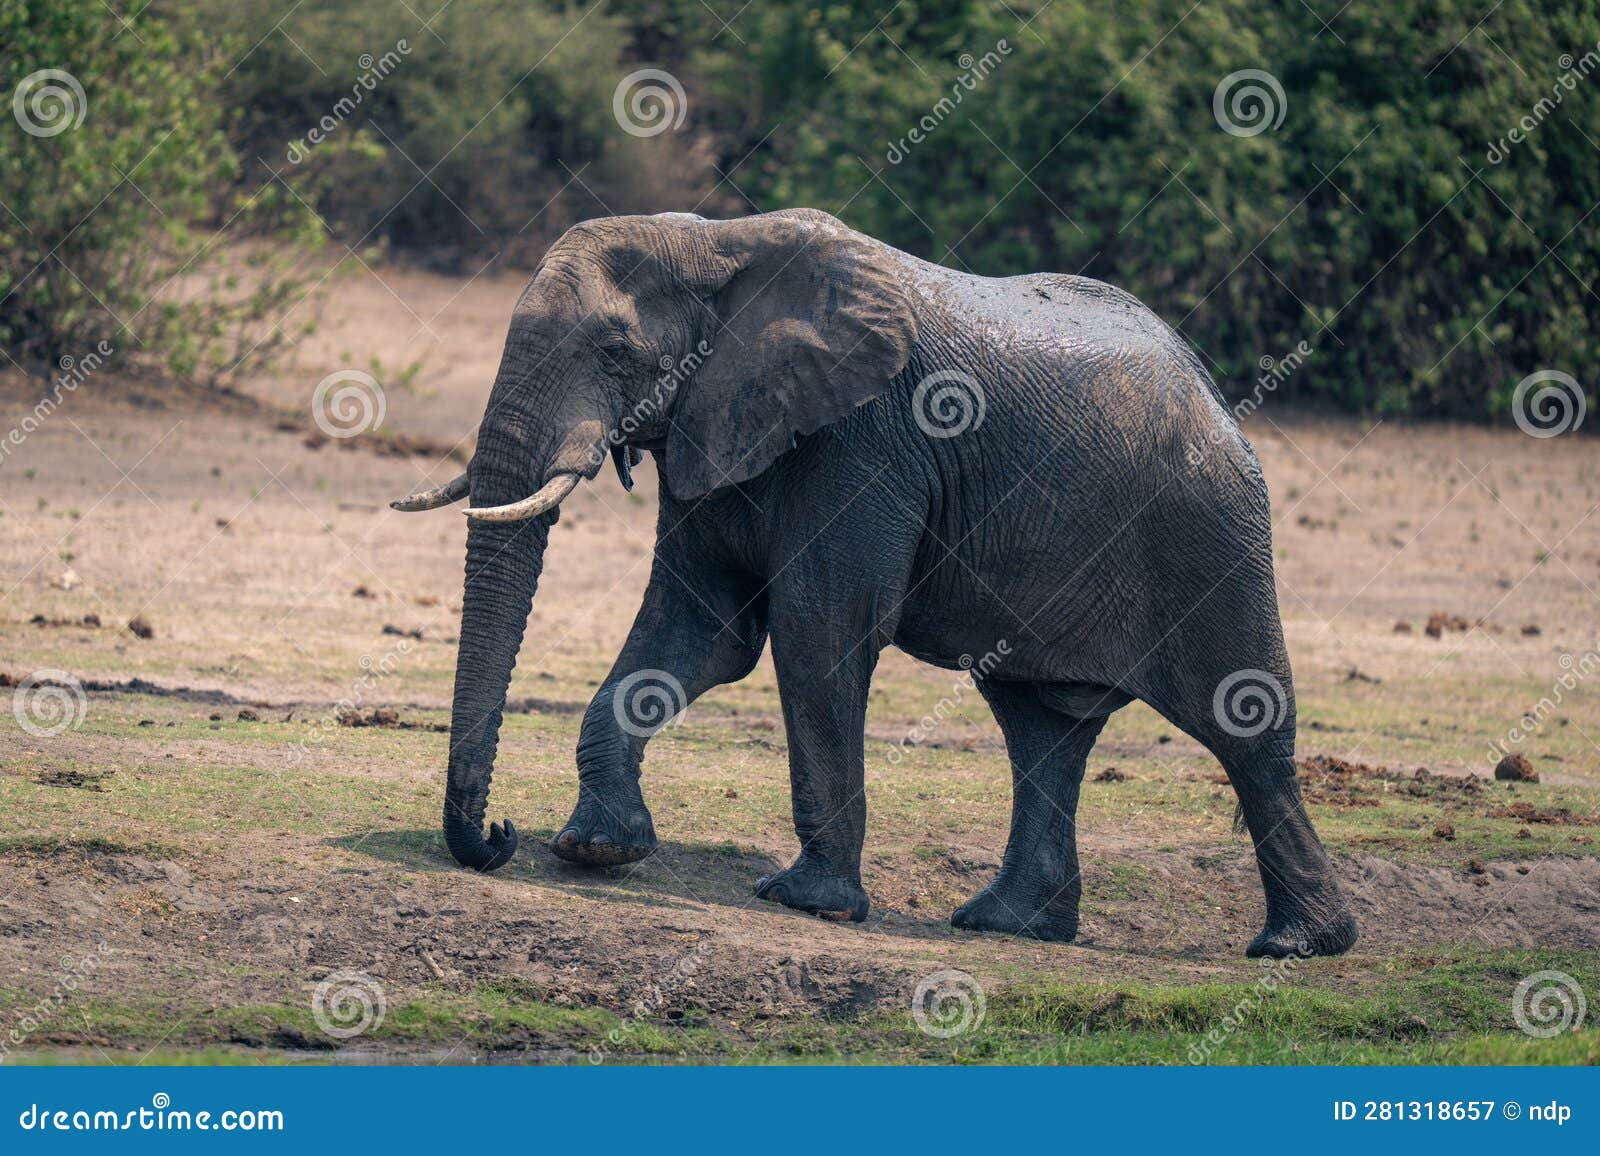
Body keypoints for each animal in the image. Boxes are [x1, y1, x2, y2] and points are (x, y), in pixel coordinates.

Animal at [391, 207, 1357, 959]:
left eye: (615, 348)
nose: (498, 837)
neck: (711, 240)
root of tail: (1215, 396)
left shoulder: (864, 442)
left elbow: (817, 631)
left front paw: (806, 902)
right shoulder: (719, 425)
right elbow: (700, 629)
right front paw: (596, 850)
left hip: (1212, 531)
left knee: (1242, 724)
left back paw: (1299, 946)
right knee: (1041, 729)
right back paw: (1007, 926)